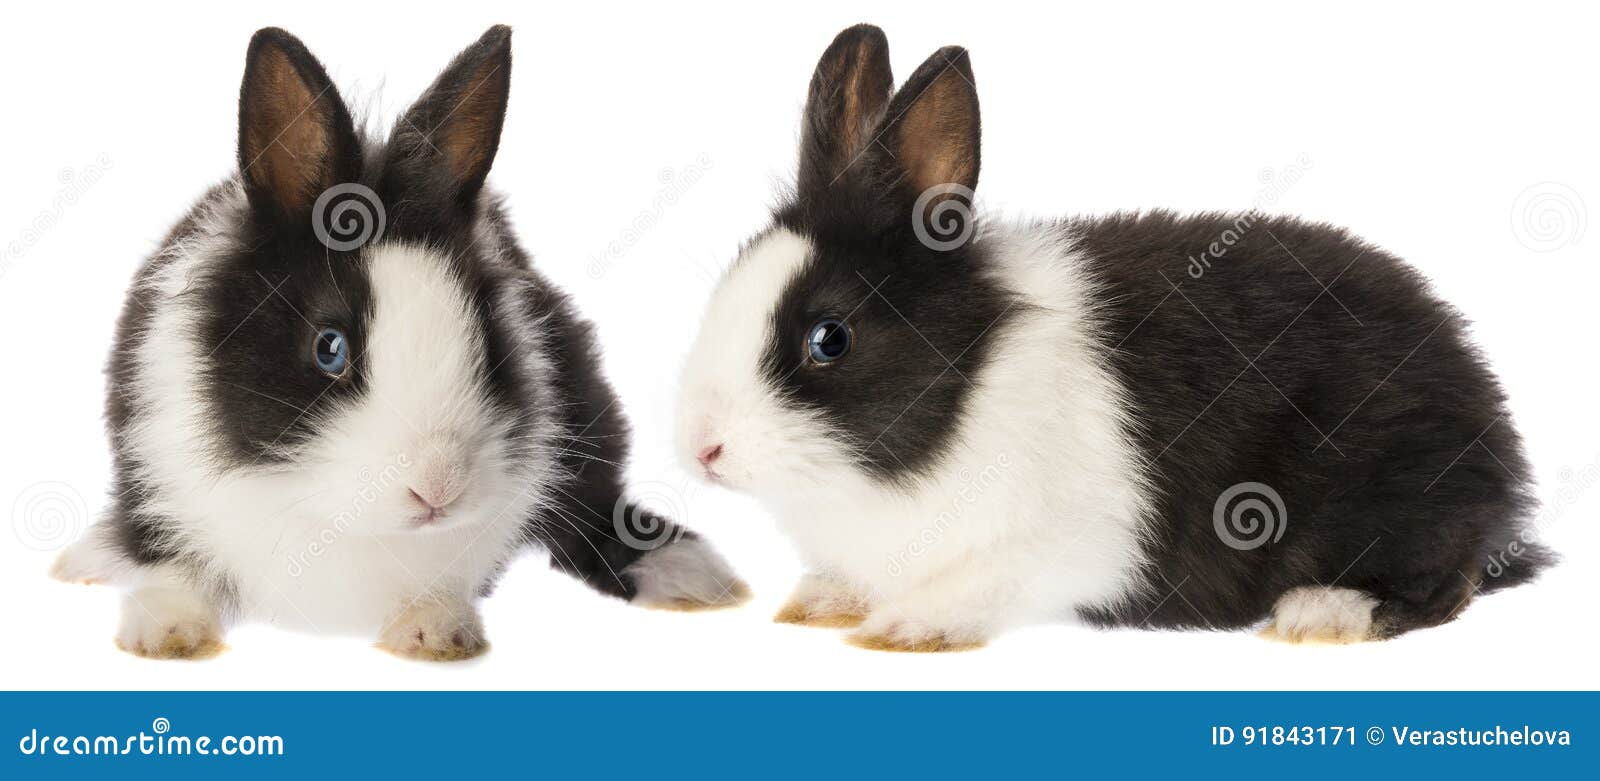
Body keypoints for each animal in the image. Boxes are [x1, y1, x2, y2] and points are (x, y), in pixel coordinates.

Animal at [51, 25, 747, 661]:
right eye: (329, 347)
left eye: (487, 337)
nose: (437, 488)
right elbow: (168, 564)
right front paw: (166, 635)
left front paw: (435, 633)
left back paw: (689, 575)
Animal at [675, 23, 1551, 652]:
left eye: (830, 338)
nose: (703, 449)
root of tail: (1502, 458)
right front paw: (821, 600)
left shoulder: (1072, 543)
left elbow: (989, 581)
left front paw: (906, 629)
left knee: (1449, 581)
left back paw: (1324, 612)